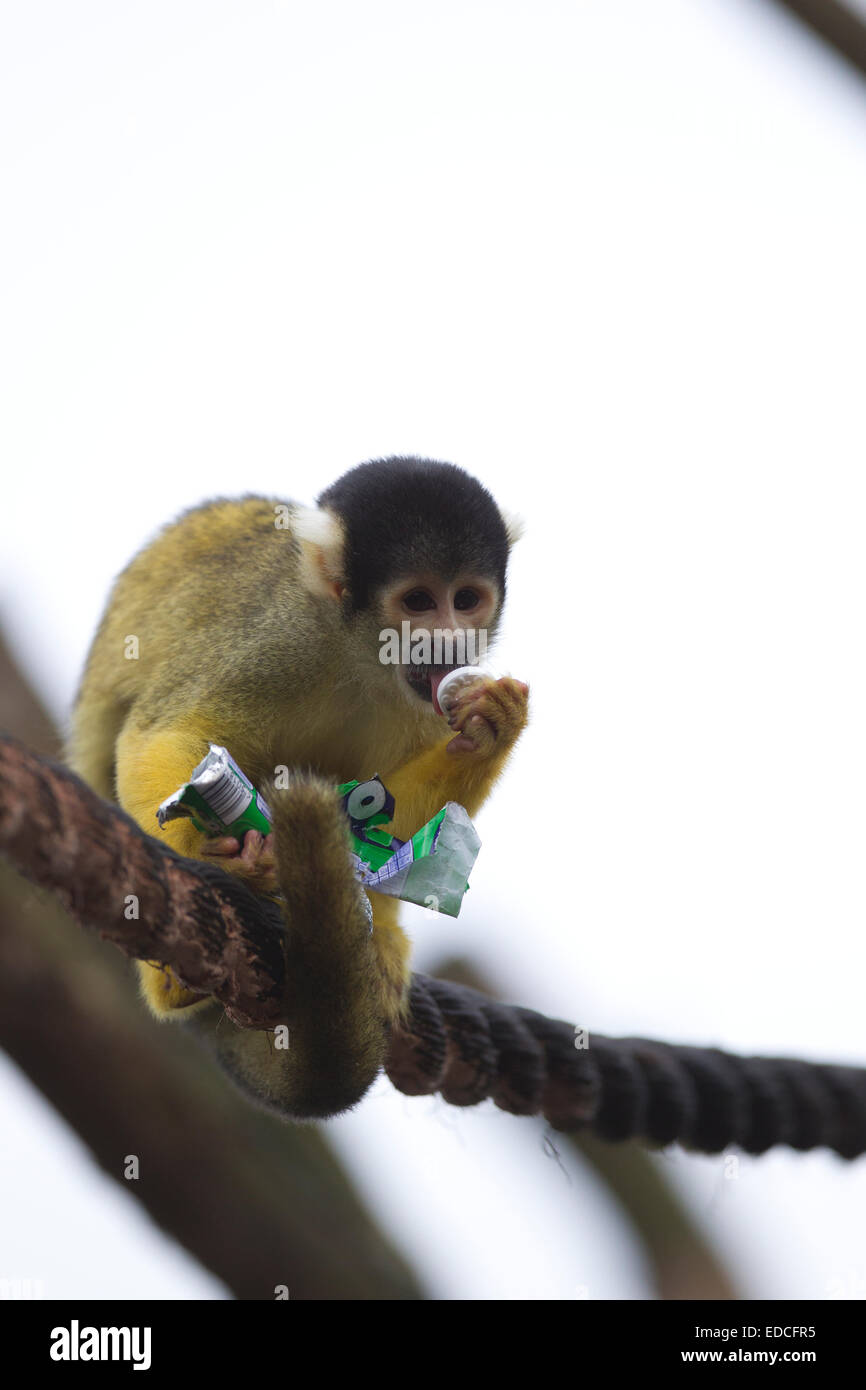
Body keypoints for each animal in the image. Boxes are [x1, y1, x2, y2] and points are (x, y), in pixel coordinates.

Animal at [65, 456, 529, 1119]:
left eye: (466, 600)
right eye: (419, 601)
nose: (448, 639)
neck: (361, 654)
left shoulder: (433, 698)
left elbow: (386, 822)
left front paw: (493, 727)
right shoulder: (278, 639)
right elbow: (167, 730)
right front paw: (220, 862)